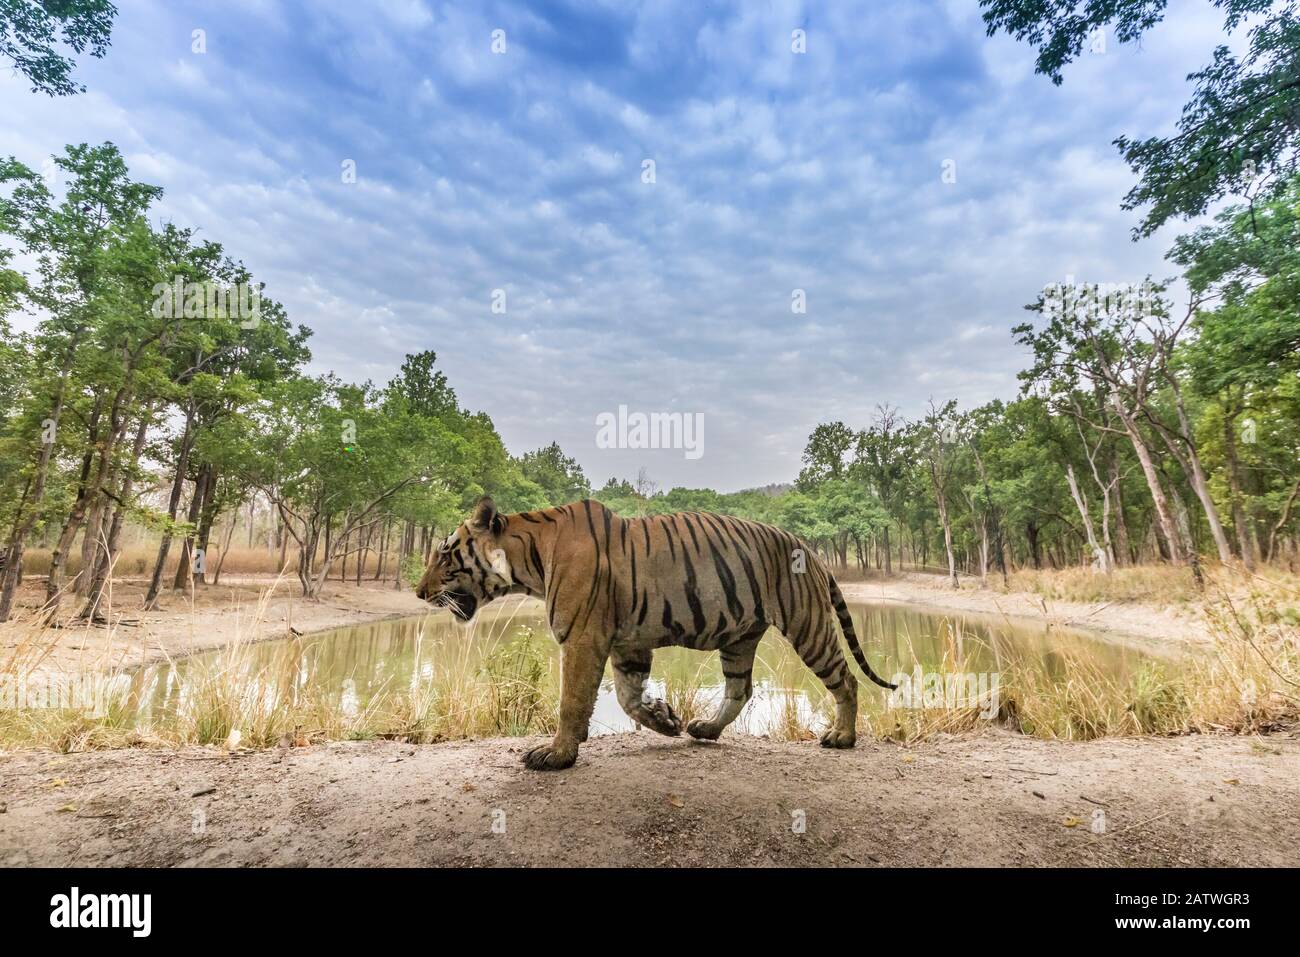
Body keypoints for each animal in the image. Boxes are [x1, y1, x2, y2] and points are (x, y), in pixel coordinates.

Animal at [416, 496, 896, 770]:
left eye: (444, 553)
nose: (419, 592)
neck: (527, 561)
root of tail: (812, 552)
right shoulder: (628, 643)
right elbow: (628, 699)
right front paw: (666, 722)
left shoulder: (582, 637)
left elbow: (572, 700)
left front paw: (557, 754)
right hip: (739, 639)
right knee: (740, 689)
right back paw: (706, 730)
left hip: (807, 625)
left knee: (846, 679)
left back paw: (842, 737)